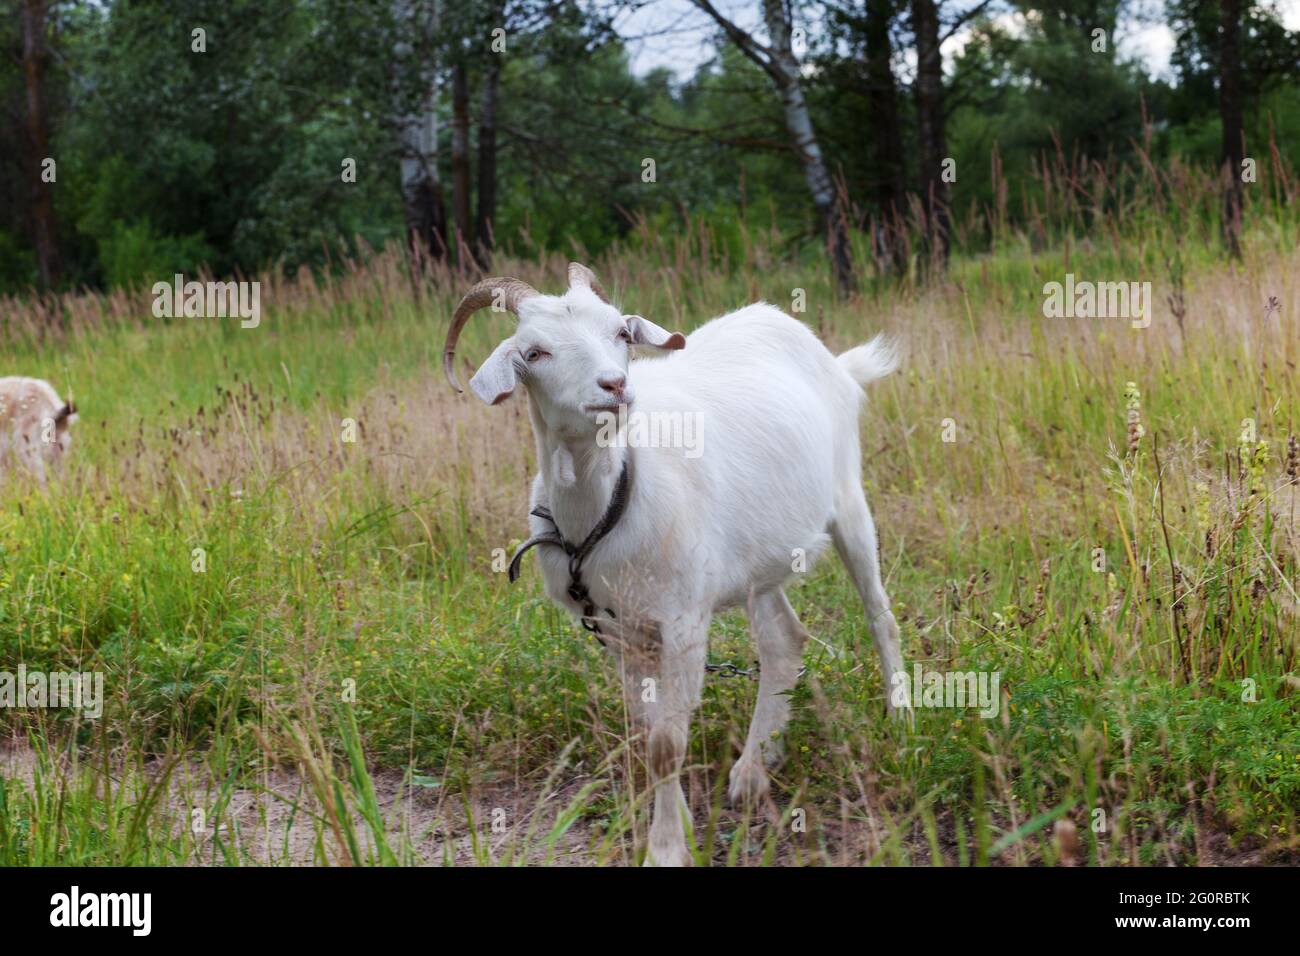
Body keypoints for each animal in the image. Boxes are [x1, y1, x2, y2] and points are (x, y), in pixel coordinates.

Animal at [444, 264, 908, 866]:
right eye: (535, 352)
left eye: (621, 331)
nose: (614, 387)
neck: (617, 492)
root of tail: (829, 358)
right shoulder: (621, 632)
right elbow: (649, 734)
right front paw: (681, 823)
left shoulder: (684, 621)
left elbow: (668, 743)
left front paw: (665, 848)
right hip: (756, 564)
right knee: (784, 641)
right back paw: (755, 767)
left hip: (849, 501)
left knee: (880, 615)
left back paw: (901, 718)